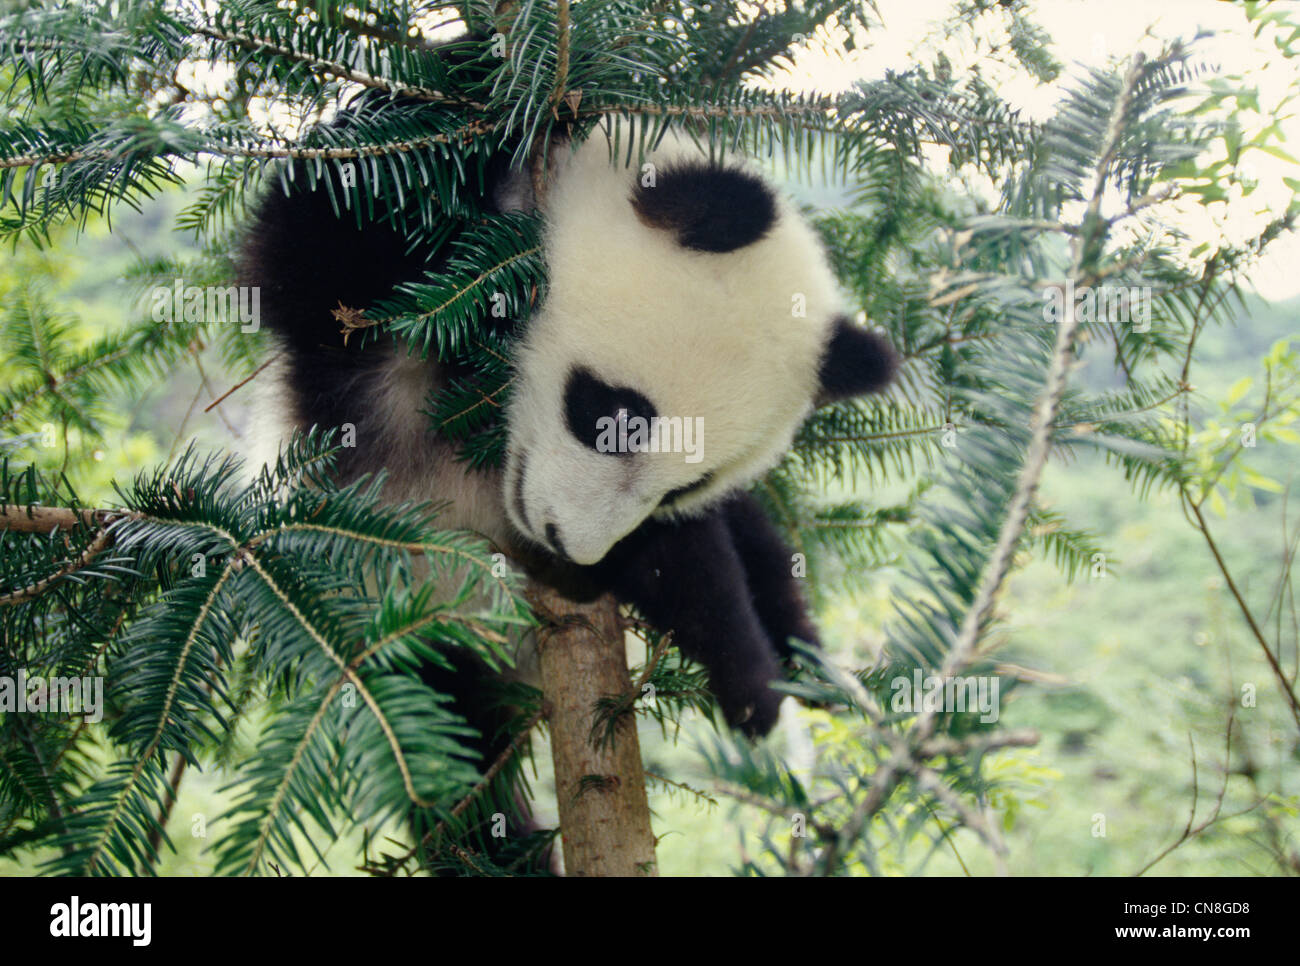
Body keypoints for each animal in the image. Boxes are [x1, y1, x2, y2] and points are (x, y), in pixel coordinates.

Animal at [239, 110, 896, 774]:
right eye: (617, 418)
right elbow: (312, 246)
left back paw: (816, 674)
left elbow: (685, 560)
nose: (568, 544)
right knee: (440, 725)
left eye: (683, 487)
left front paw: (752, 689)